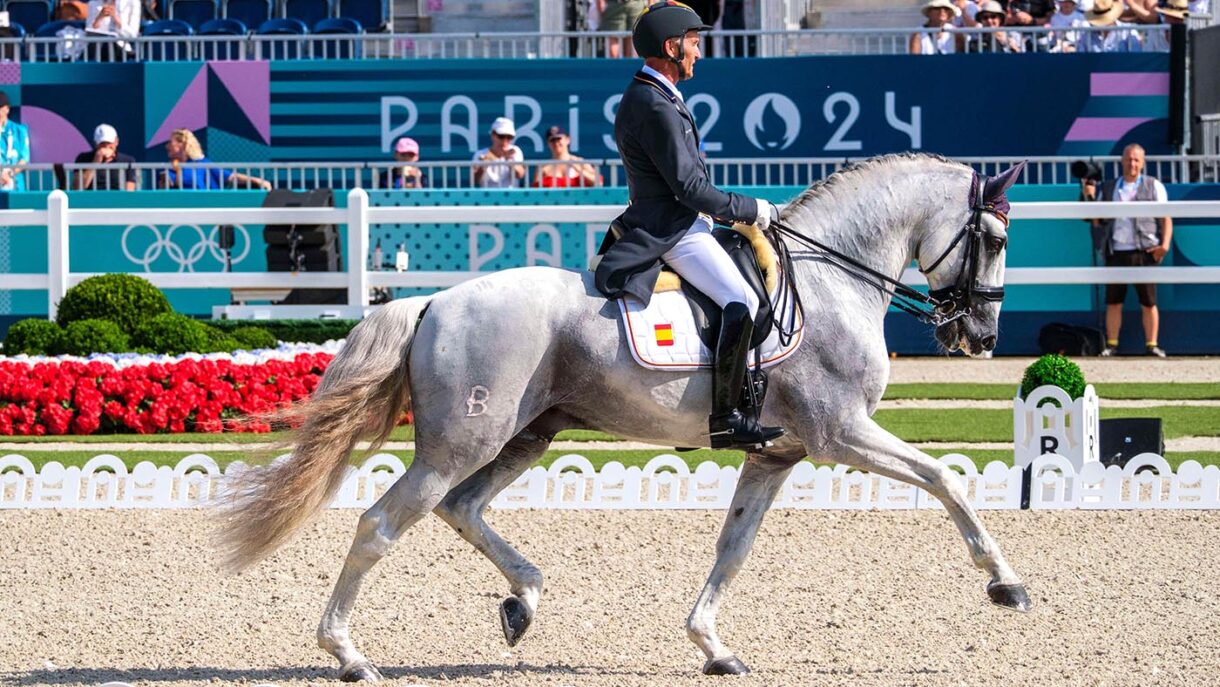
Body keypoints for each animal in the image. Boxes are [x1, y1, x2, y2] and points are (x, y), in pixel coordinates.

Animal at [216, 152, 1032, 680]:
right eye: (993, 239)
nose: (981, 337)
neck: (832, 279)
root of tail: (437, 299)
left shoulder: (776, 452)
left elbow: (733, 548)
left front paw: (712, 646)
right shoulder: (843, 434)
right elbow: (946, 478)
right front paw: (1005, 583)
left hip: (524, 435)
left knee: (461, 507)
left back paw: (523, 601)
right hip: (462, 442)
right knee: (382, 524)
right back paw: (350, 655)